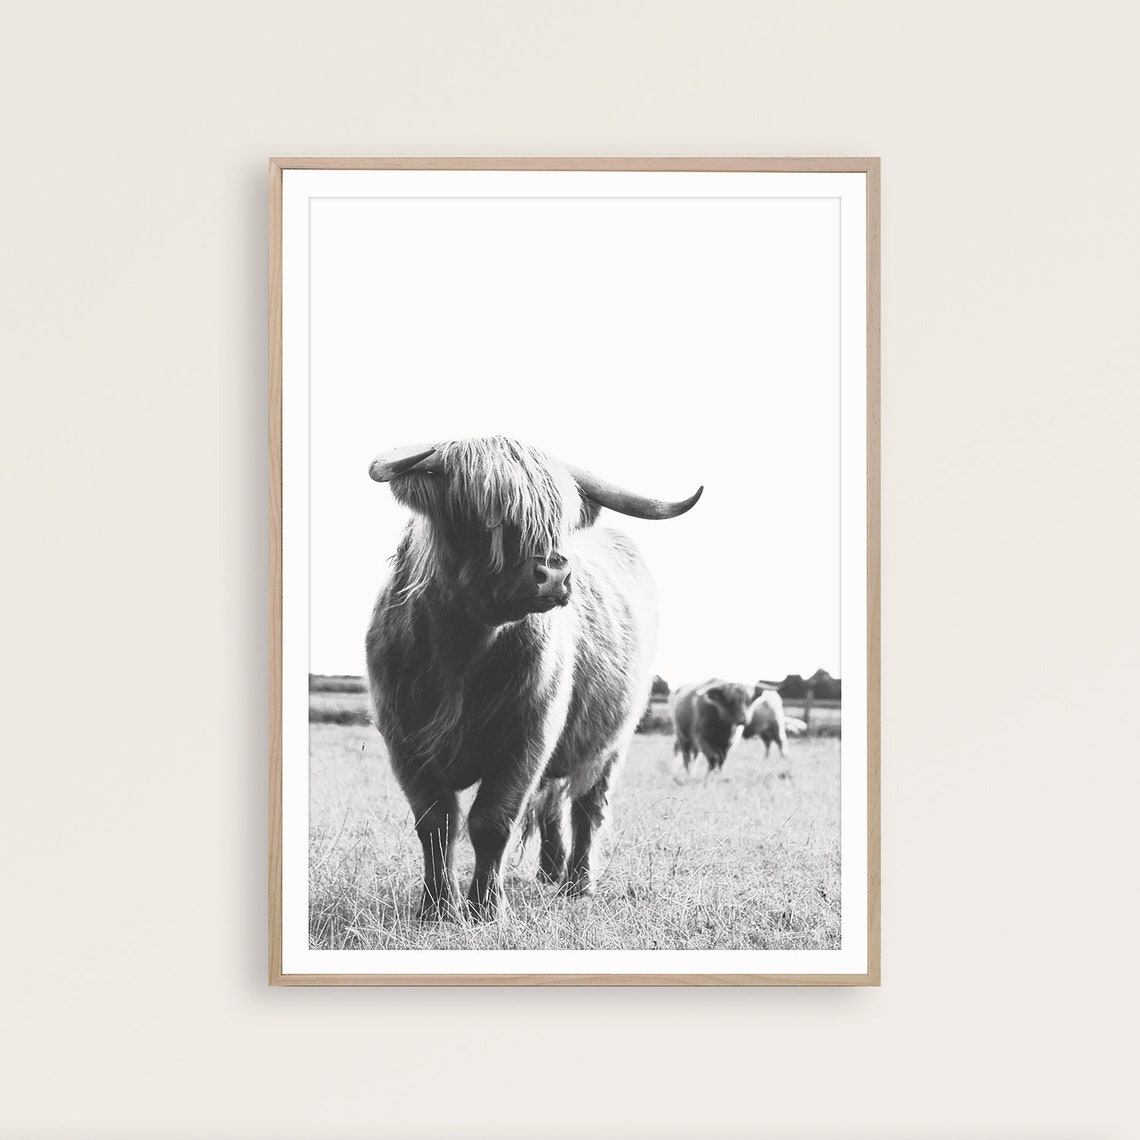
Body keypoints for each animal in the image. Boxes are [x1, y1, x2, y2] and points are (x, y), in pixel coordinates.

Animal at [365, 436, 701, 920]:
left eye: (557, 518)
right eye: (481, 513)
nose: (555, 574)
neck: (460, 651)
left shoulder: (528, 736)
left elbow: (491, 819)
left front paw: (487, 908)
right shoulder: (403, 738)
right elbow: (435, 821)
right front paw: (437, 906)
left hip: (612, 744)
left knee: (587, 807)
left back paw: (577, 883)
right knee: (552, 806)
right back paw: (549, 871)